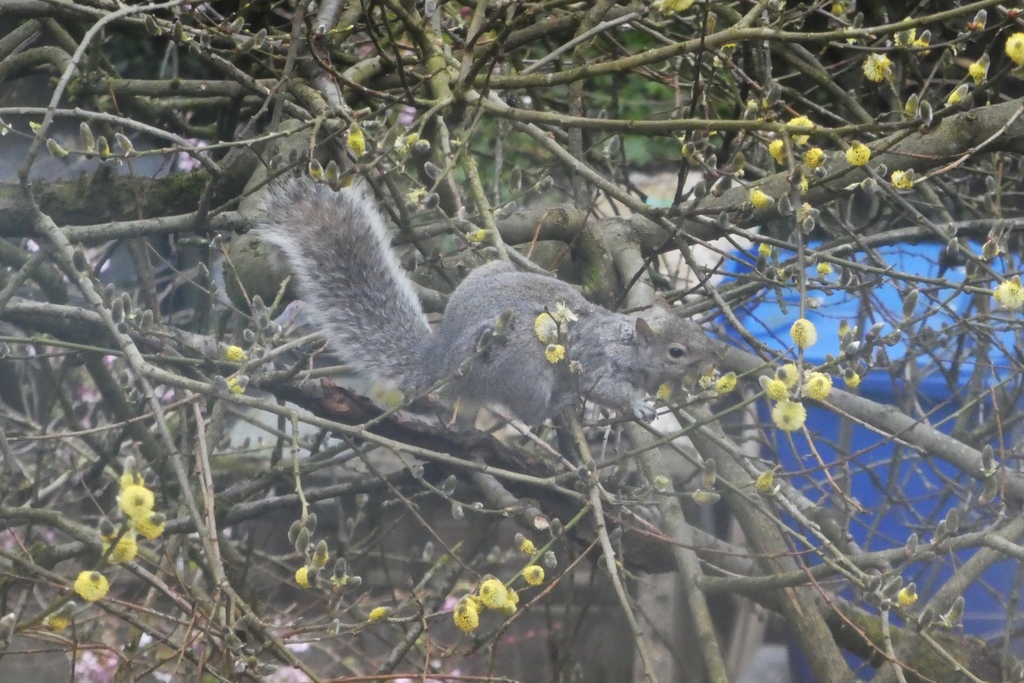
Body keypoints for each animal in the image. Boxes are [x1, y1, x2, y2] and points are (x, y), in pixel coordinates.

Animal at [255, 176, 716, 426]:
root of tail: (442, 363)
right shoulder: (601, 363)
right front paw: (637, 405)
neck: (628, 343)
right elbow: (603, 388)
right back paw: (559, 405)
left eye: (698, 331)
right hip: (521, 371)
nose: (715, 358)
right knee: (529, 412)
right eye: (677, 352)